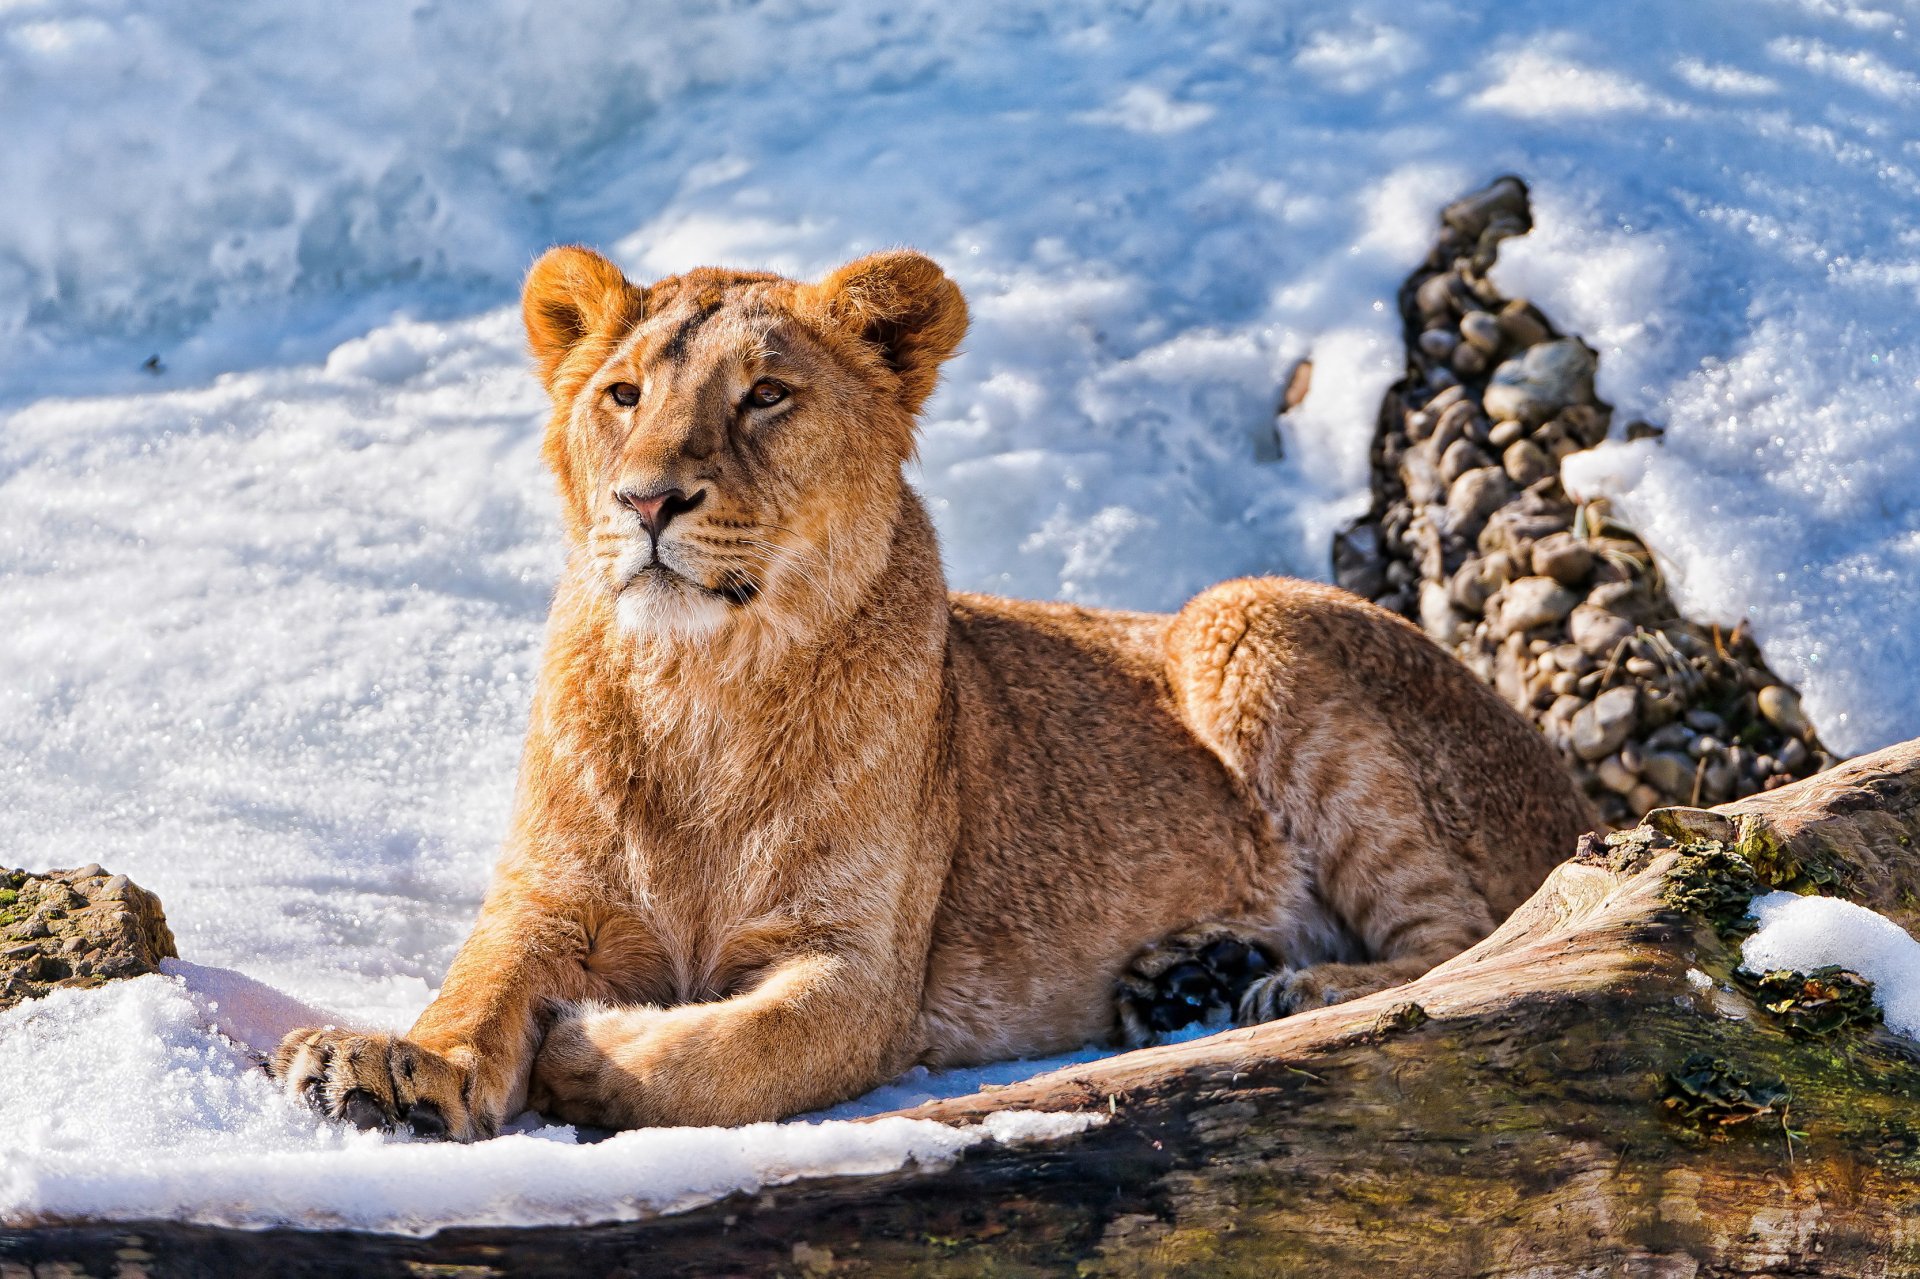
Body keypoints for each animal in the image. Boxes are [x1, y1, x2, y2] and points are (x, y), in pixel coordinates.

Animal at [270, 246, 1596, 1138]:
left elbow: (731, 1053)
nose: (646, 500)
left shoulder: (862, 971)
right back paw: (1190, 979)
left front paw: (592, 1048)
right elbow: (476, 985)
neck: (700, 683)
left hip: (1244, 616)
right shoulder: (548, 899)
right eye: (623, 395)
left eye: (765, 395)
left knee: (1470, 941)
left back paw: (1289, 986)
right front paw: (388, 1066)